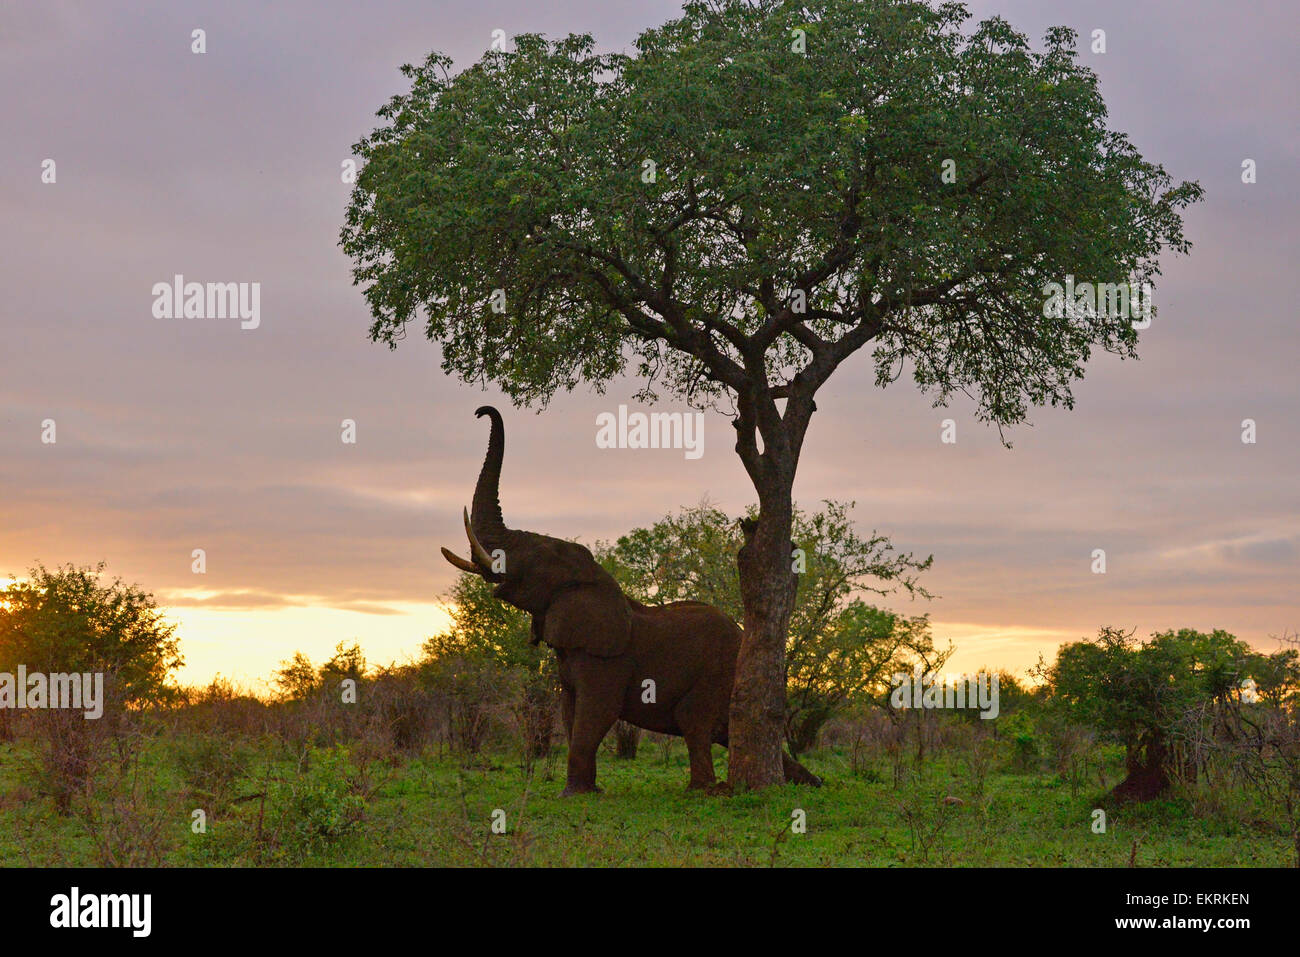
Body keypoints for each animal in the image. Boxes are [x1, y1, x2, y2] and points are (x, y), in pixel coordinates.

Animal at [441, 405, 821, 795]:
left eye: (534, 561)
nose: (481, 412)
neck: (594, 579)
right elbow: (571, 712)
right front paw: (587, 791)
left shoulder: (608, 659)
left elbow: (597, 712)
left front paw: (573, 795)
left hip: (717, 676)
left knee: (693, 721)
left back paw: (706, 791)